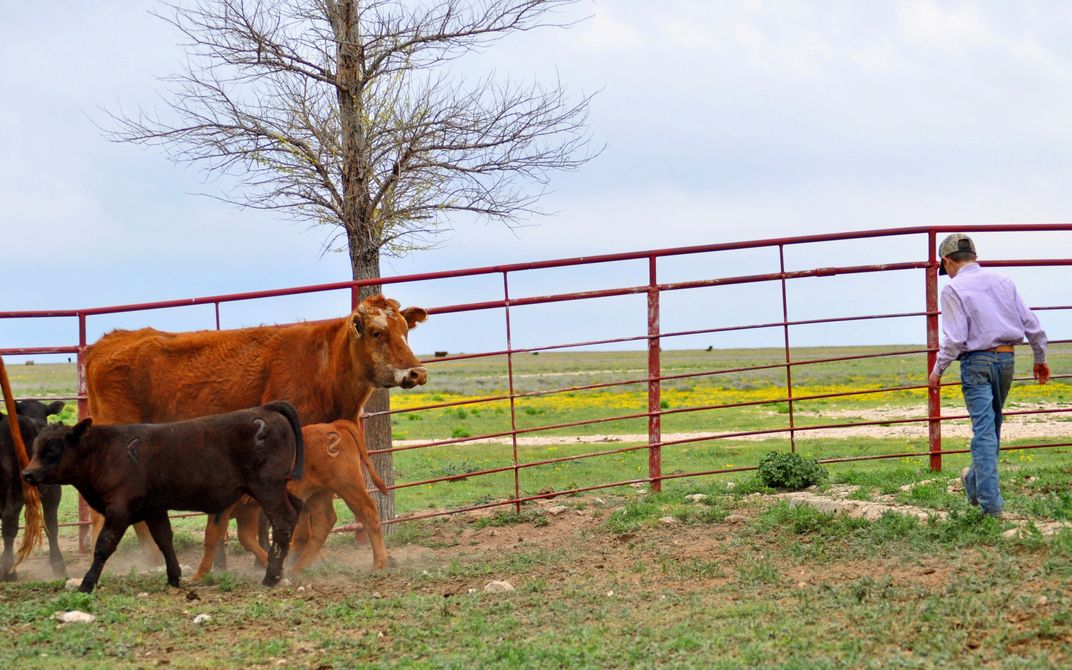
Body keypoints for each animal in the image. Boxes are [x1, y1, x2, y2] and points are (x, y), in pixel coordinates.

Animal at [1, 400, 66, 581]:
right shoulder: (53, 491)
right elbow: (51, 524)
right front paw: (58, 564)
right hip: (17, 488)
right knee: (10, 521)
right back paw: (9, 572)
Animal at [22, 401, 305, 593]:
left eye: (52, 449)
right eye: (36, 446)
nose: (27, 473)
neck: (108, 452)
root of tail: (266, 410)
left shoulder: (119, 510)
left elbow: (104, 546)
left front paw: (86, 584)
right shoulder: (154, 509)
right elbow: (164, 540)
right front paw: (174, 577)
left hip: (267, 488)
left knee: (282, 521)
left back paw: (271, 576)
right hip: (275, 488)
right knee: (297, 507)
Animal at [193, 419, 388, 580]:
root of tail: (333, 426)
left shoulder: (225, 509)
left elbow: (212, 536)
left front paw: (199, 575)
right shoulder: (246, 510)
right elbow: (245, 537)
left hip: (348, 486)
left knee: (369, 513)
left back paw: (379, 564)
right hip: (318, 494)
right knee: (324, 522)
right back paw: (298, 569)